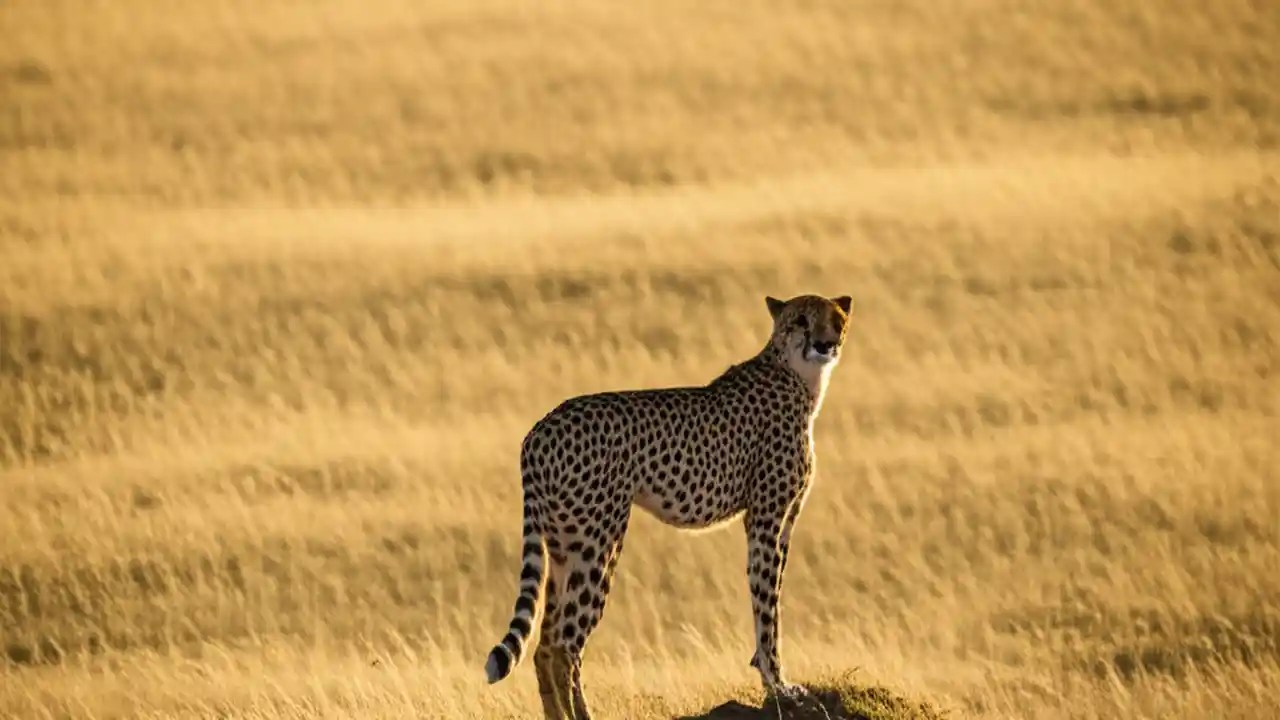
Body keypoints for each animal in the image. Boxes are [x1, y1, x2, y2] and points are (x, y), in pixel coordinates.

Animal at [484, 294, 853, 719]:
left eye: (835, 321)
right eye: (801, 320)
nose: (825, 344)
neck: (795, 373)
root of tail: (537, 432)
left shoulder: (783, 521)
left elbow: (772, 592)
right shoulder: (766, 519)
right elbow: (766, 605)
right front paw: (777, 684)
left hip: (562, 546)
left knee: (544, 647)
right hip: (598, 543)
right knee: (563, 644)